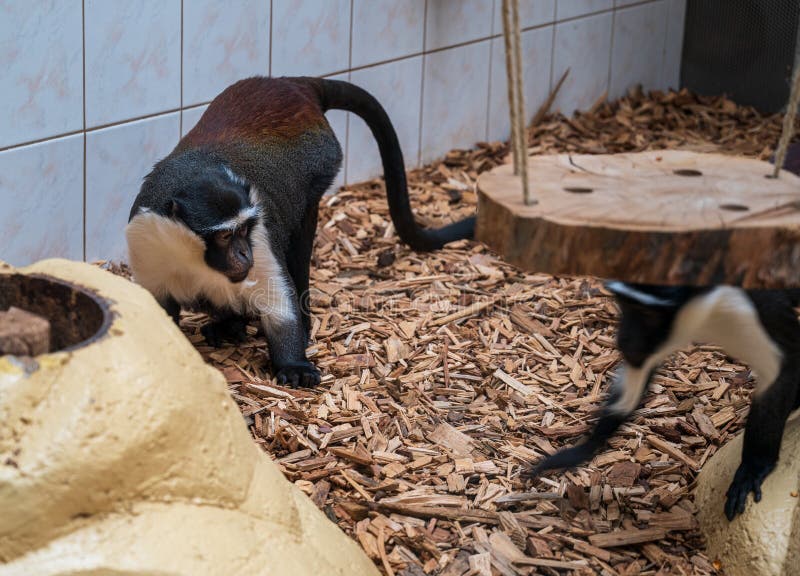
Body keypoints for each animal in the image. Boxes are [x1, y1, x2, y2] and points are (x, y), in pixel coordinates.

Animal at [126, 76, 474, 388]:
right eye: (226, 236)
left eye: (245, 230)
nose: (244, 253)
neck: (191, 254)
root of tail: (293, 84)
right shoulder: (145, 238)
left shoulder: (261, 233)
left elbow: (278, 303)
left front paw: (294, 365)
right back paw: (227, 325)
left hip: (321, 169)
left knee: (300, 245)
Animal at [528, 281, 800, 520]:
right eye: (623, 304)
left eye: (647, 314)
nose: (625, 339)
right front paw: (580, 451)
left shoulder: (746, 307)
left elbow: (787, 365)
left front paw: (754, 467)